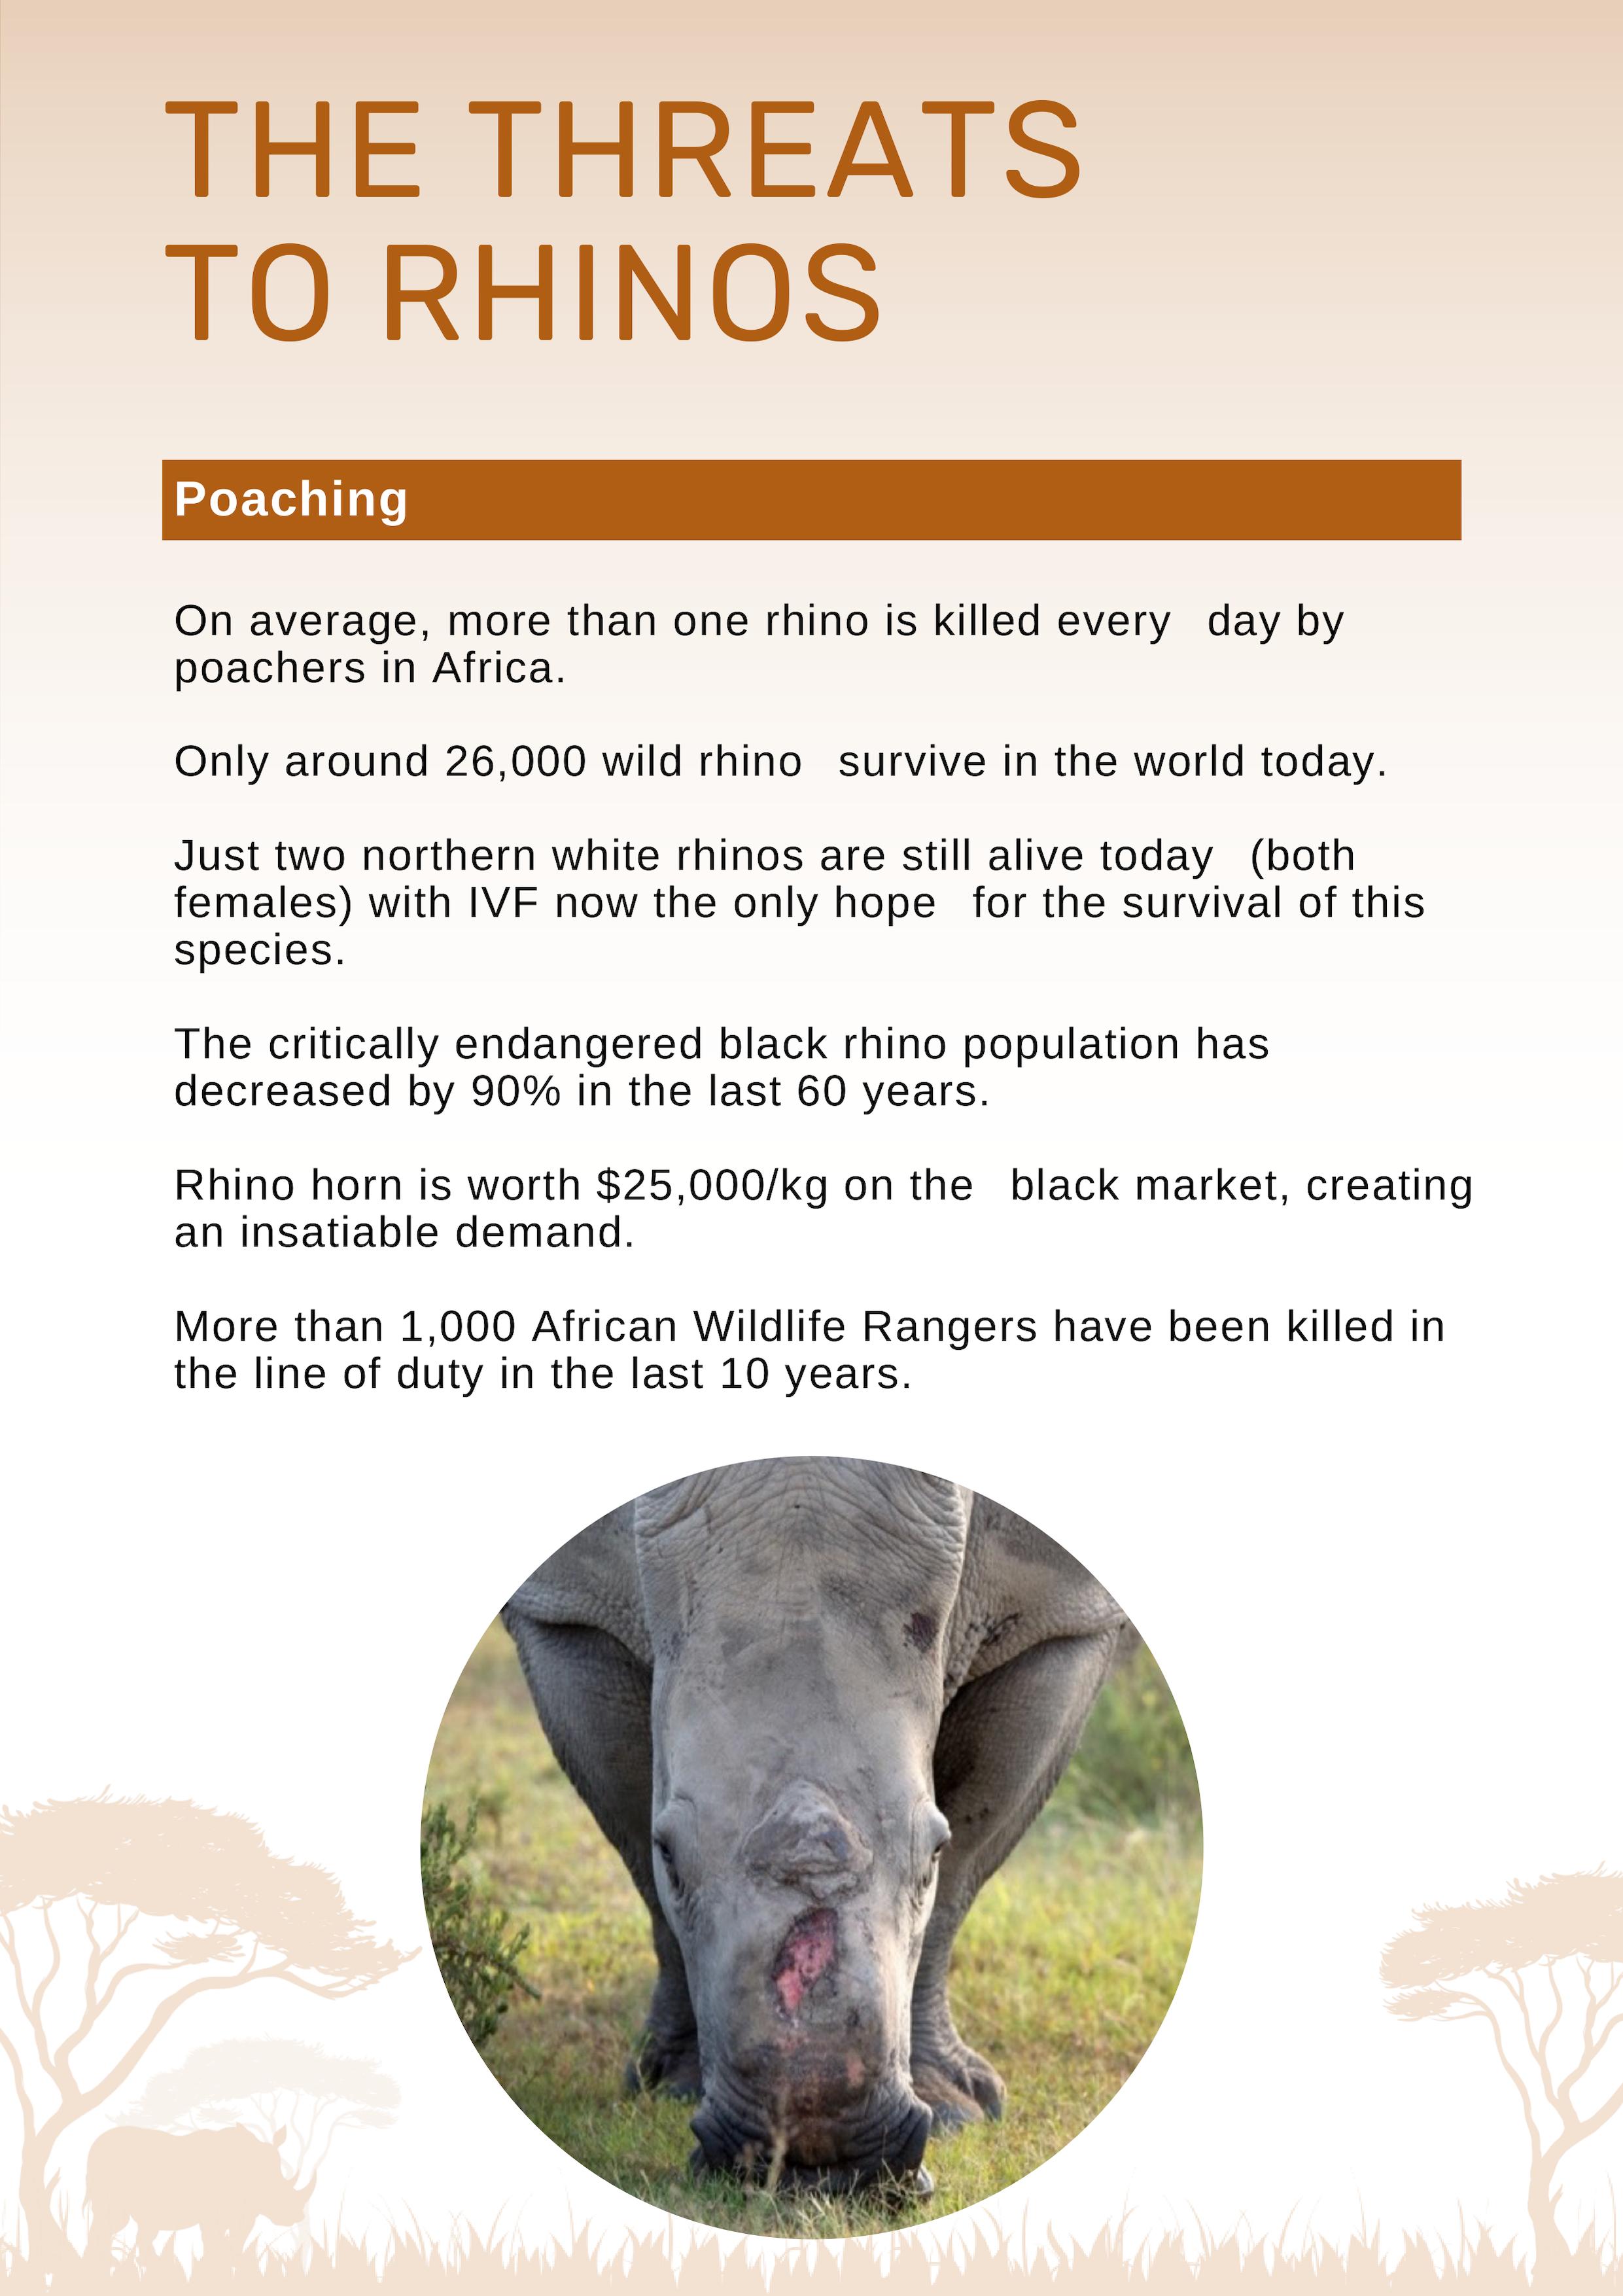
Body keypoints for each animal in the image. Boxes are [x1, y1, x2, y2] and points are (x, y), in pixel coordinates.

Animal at [85, 2124, 313, 2258]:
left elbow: (236, 2244)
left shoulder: (246, 2214)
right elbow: (214, 2244)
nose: (295, 2215)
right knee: (110, 2221)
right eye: (273, 2192)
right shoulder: (213, 2215)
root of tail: (95, 2145)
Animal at [504, 1457, 1131, 2193]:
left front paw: (953, 2106)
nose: (813, 2157)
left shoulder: (1060, 1614)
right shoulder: (564, 1608)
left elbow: (964, 1872)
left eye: (930, 1852)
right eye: (673, 1854)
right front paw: (669, 2084)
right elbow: (635, 1840)